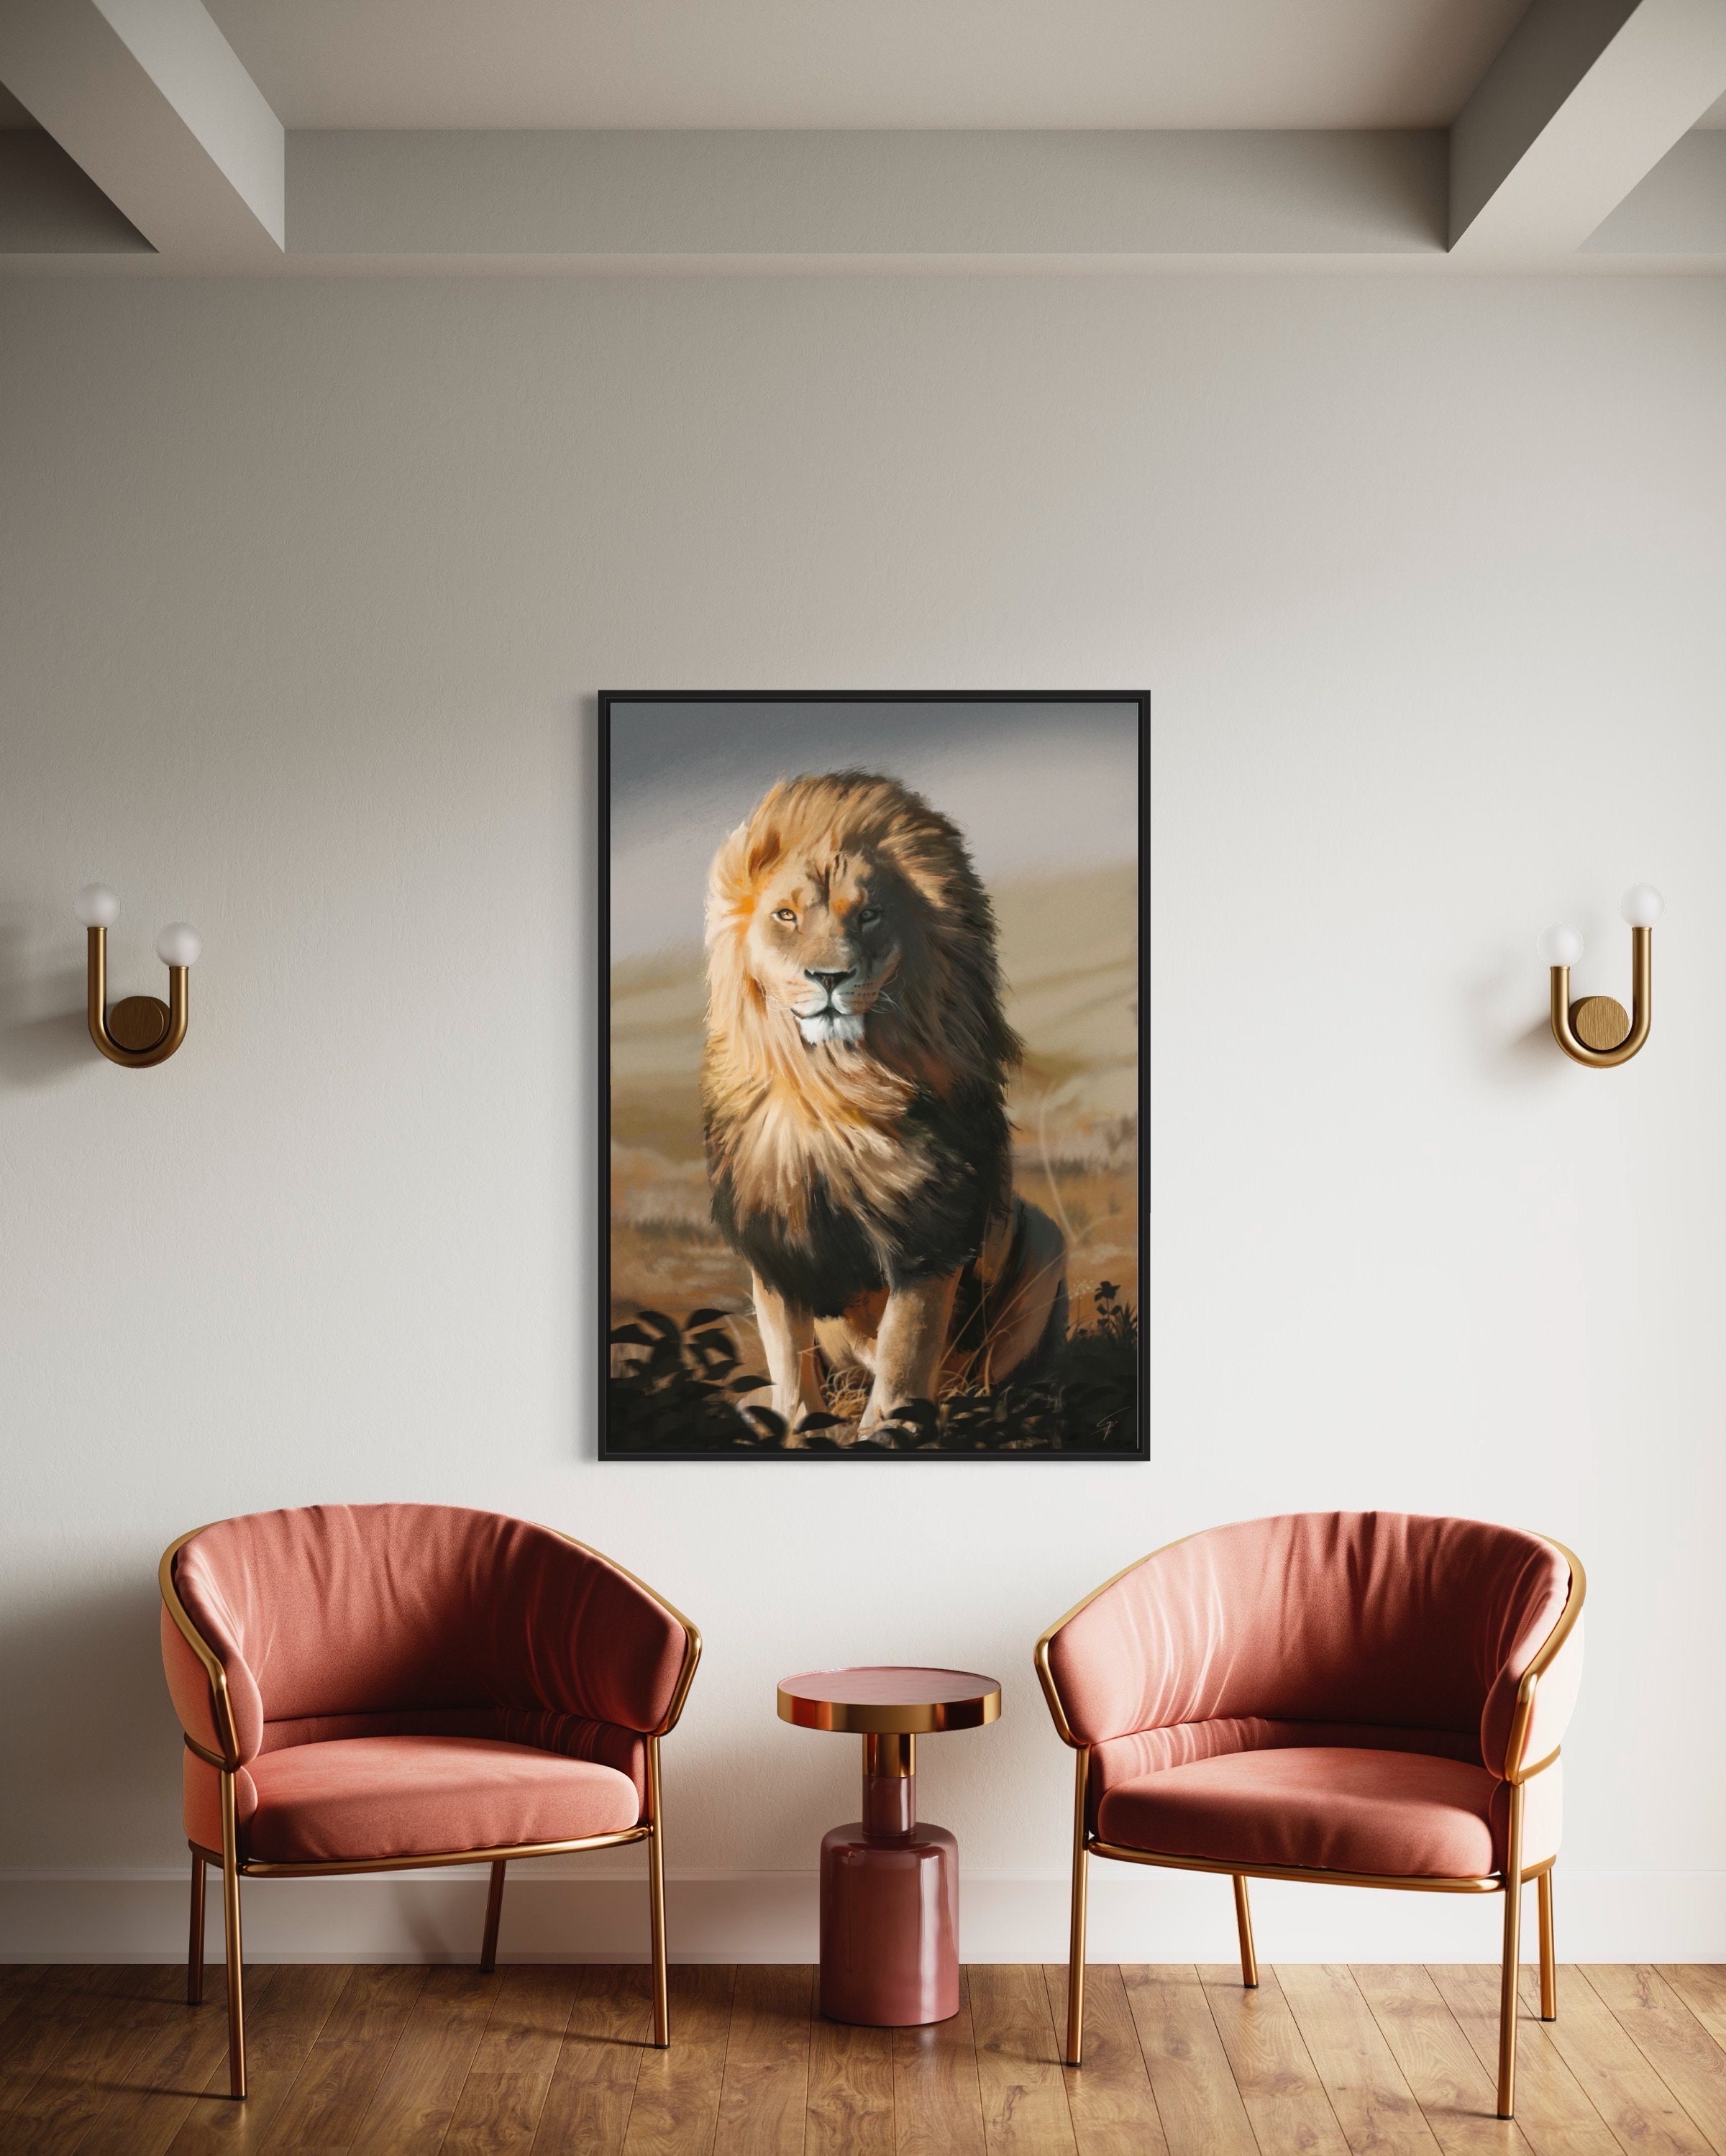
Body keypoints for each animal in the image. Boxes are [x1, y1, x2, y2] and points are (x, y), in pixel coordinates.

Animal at [701, 769, 1067, 1442]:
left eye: (870, 915)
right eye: (786, 915)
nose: (829, 978)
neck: (835, 1090)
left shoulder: (930, 1239)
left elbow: (904, 1352)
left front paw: (889, 1432)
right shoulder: (774, 1243)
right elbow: (790, 1359)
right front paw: (799, 1427)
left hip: (1046, 1240)